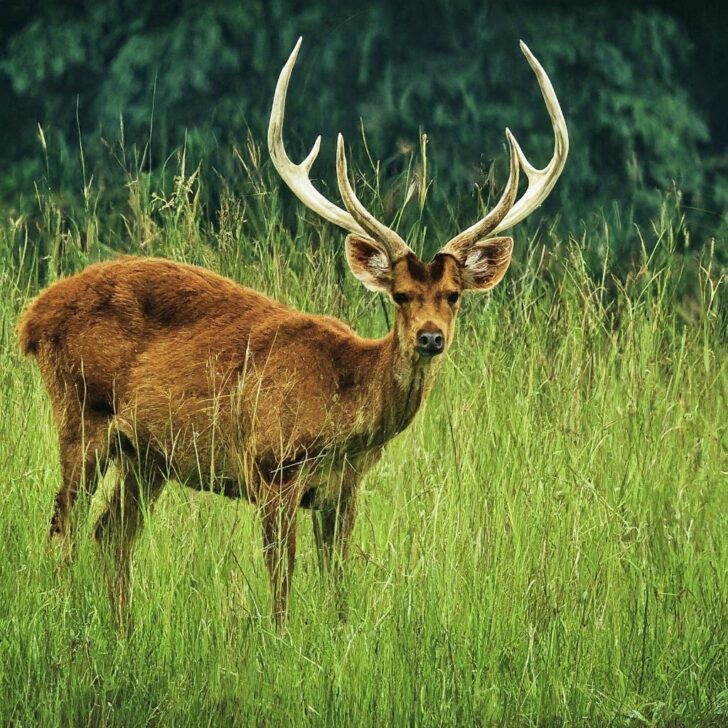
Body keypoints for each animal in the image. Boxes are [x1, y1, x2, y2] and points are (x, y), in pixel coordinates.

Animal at [18, 38, 568, 626]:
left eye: (454, 295)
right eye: (399, 295)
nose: (430, 338)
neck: (344, 405)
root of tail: (33, 317)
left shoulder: (343, 492)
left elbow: (338, 589)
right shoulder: (272, 470)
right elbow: (281, 588)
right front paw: (279, 641)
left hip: (148, 456)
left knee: (111, 533)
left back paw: (123, 629)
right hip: (81, 413)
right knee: (64, 527)